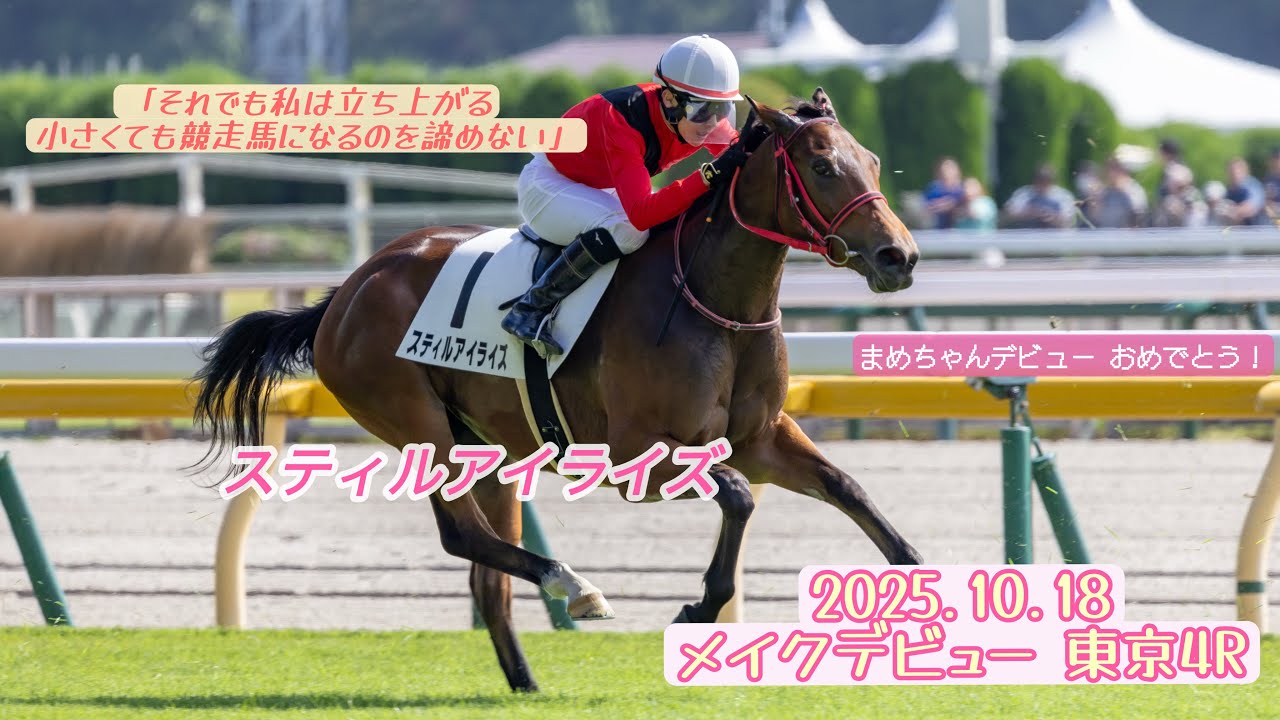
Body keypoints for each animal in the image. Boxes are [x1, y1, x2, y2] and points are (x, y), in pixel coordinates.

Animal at [188, 87, 922, 693]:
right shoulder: (634, 456)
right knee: (463, 538)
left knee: (486, 574)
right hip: (418, 425)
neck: (714, 301)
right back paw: (576, 587)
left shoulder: (761, 437)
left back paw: (527, 682)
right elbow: (739, 497)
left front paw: (919, 580)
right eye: (823, 168)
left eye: (873, 161)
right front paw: (695, 608)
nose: (900, 257)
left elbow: (845, 489)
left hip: (489, 450)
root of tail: (344, 292)